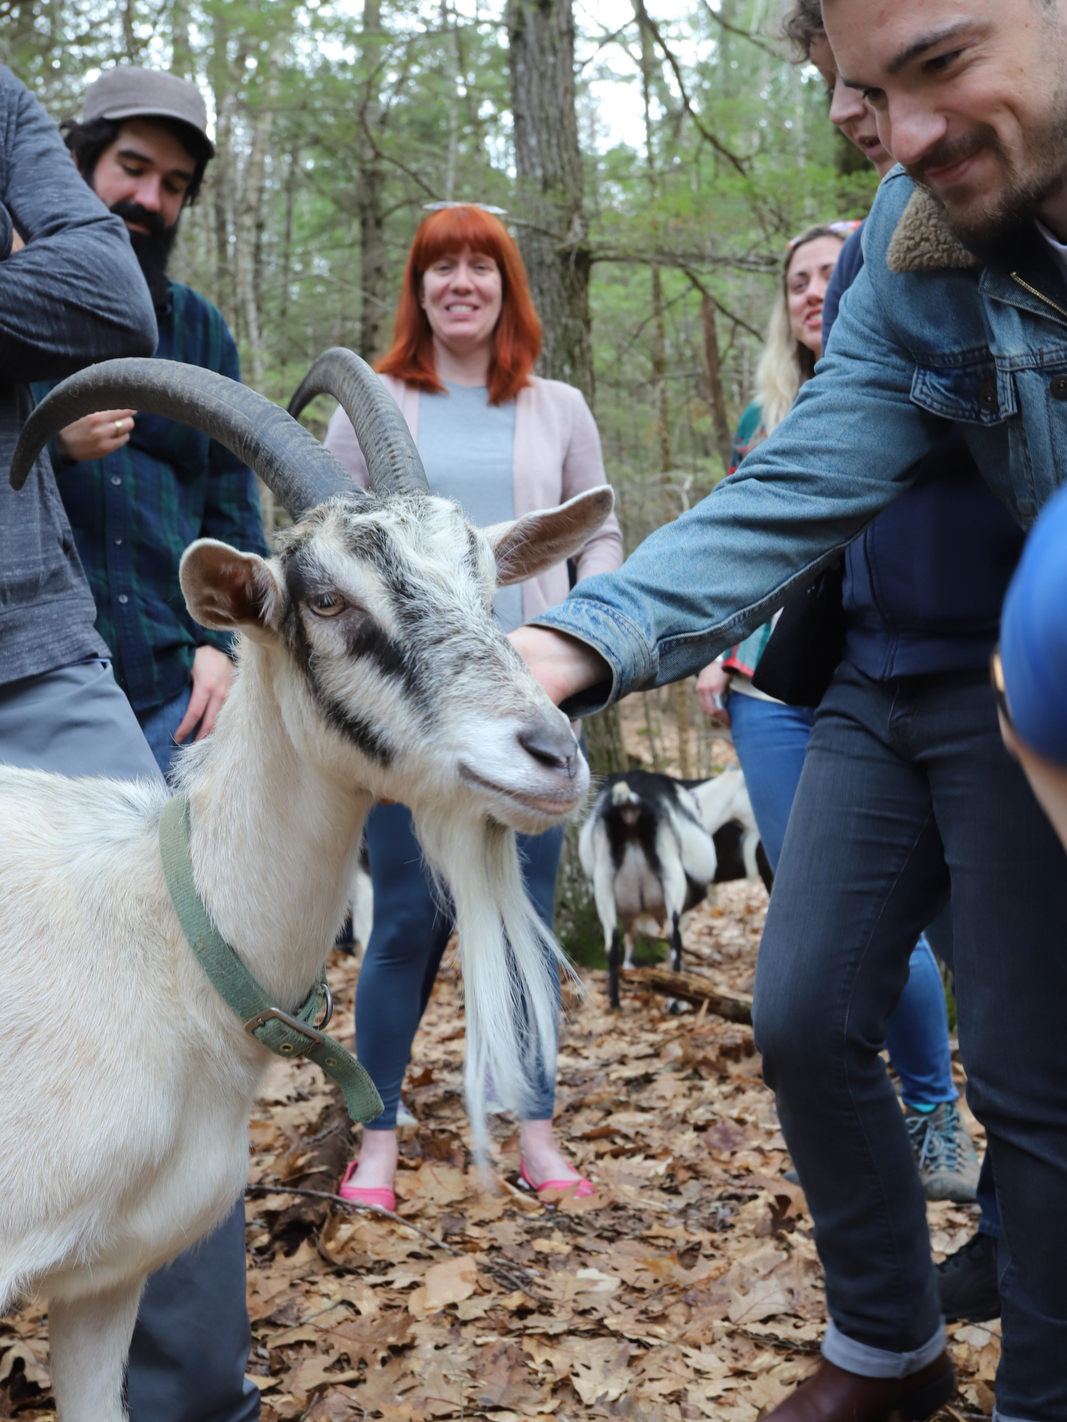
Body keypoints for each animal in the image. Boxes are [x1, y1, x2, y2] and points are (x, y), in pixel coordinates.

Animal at [579, 768, 772, 1010]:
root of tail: (628, 804)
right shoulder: (686, 905)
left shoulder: (630, 917)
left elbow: (629, 947)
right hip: (673, 876)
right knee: (674, 940)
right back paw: (675, 1001)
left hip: (603, 881)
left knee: (611, 945)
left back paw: (615, 1003)